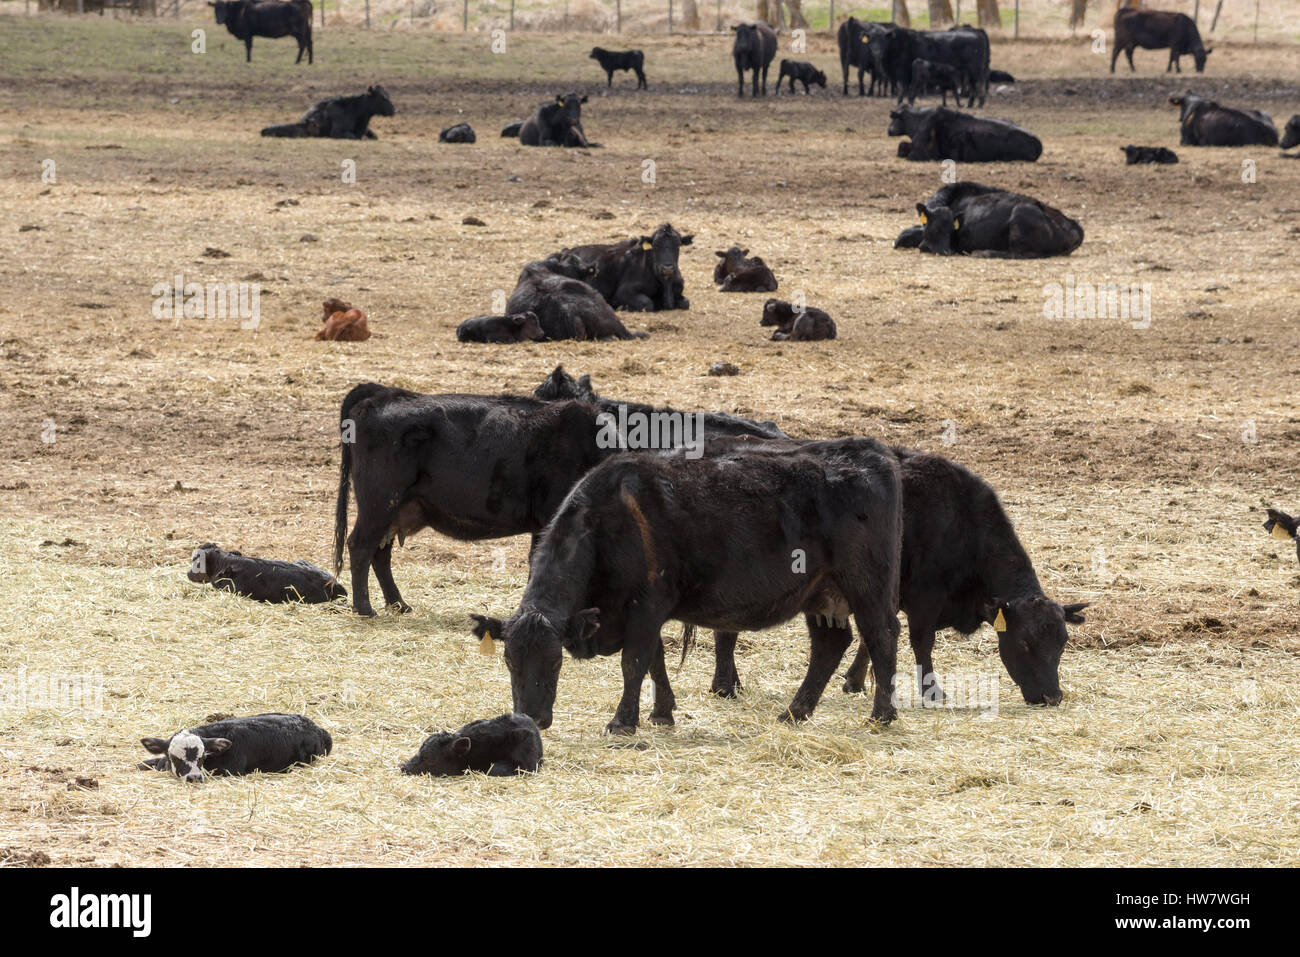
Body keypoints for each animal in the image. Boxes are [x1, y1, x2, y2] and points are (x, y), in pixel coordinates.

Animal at [333, 371, 785, 617]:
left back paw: (398, 604)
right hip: (380, 501)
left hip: (401, 508)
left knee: (380, 553)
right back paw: (365, 608)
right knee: (360, 547)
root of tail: (382, 393)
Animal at [469, 439, 904, 732]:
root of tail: (868, 451)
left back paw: (881, 715)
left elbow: (634, 662)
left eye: (556, 661)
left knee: (882, 636)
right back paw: (794, 712)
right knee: (829, 646)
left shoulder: (647, 604)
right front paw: (662, 711)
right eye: (508, 660)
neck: (607, 522)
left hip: (867, 584)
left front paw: (622, 721)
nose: (530, 718)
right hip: (821, 594)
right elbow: (656, 661)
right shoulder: (646, 614)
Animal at [558, 224, 693, 312]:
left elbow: (686, 303)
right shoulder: (624, 292)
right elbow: (648, 303)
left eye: (678, 245)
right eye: (655, 245)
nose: (667, 268)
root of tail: (567, 251)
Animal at [702, 443, 1088, 708]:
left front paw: (855, 681)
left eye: (1062, 642)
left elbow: (871, 639)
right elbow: (920, 643)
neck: (960, 519)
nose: (1053, 696)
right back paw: (724, 685)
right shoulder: (924, 600)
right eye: (1024, 642)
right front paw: (931, 692)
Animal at [894, 182, 1083, 258]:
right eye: (932, 226)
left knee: (1019, 254)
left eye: (950, 229)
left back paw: (983, 252)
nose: (944, 251)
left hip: (1020, 215)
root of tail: (1074, 225)